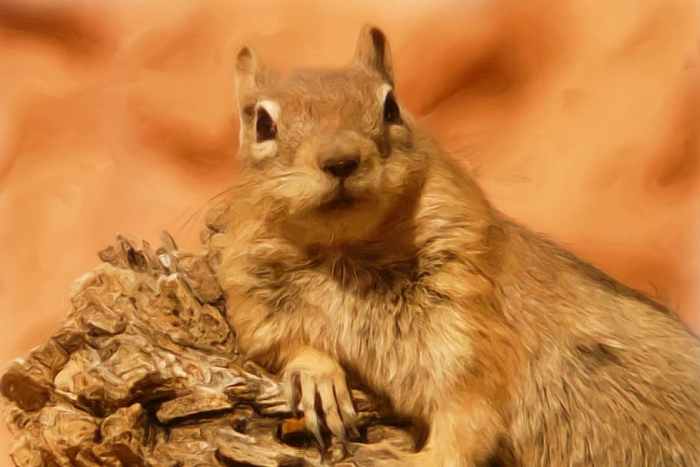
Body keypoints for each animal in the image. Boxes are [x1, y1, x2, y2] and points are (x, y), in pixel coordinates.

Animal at [215, 25, 700, 466]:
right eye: (262, 123)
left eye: (391, 107)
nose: (340, 160)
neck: (346, 250)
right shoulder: (254, 296)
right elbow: (280, 341)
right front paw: (318, 379)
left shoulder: (469, 327)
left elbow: (466, 423)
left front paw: (405, 459)